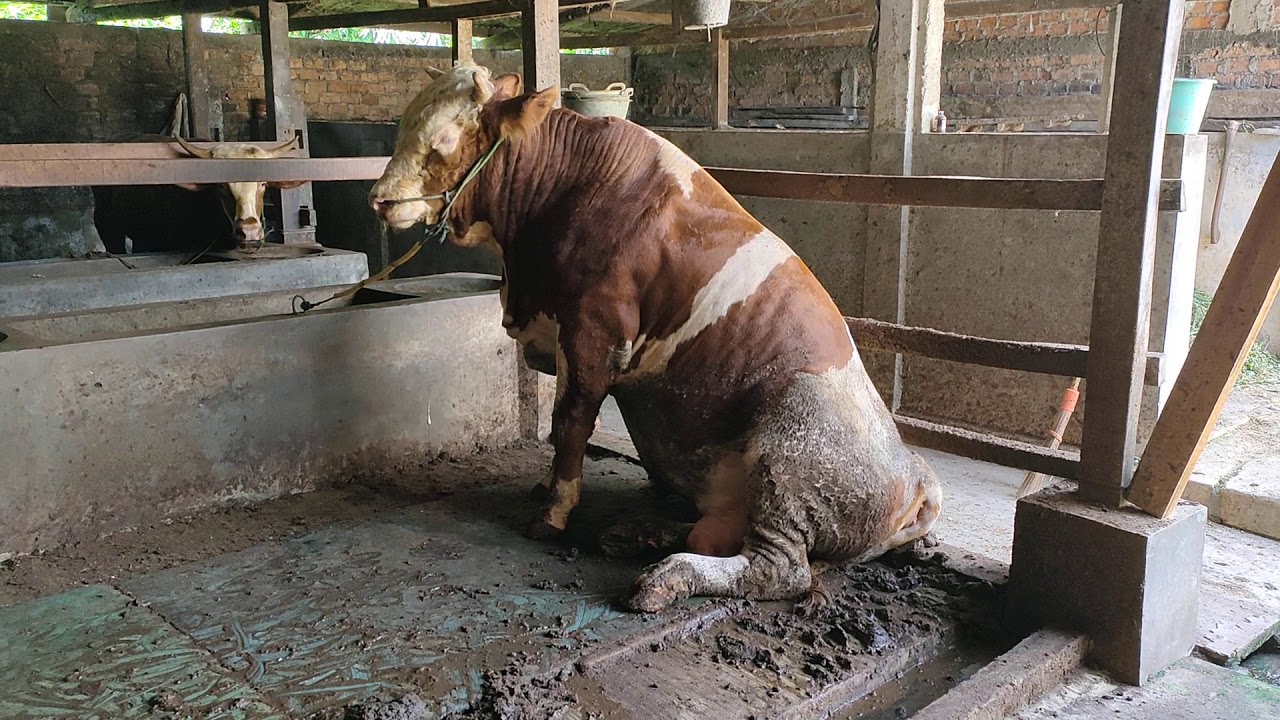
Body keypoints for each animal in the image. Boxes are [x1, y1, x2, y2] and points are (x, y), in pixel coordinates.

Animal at [368, 64, 942, 613]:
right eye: (404, 123)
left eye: (444, 137)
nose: (379, 200)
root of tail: (913, 475)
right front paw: (547, 488)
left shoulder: (594, 334)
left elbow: (569, 424)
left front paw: (553, 512)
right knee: (716, 535)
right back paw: (637, 535)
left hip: (790, 448)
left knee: (777, 568)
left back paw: (665, 578)